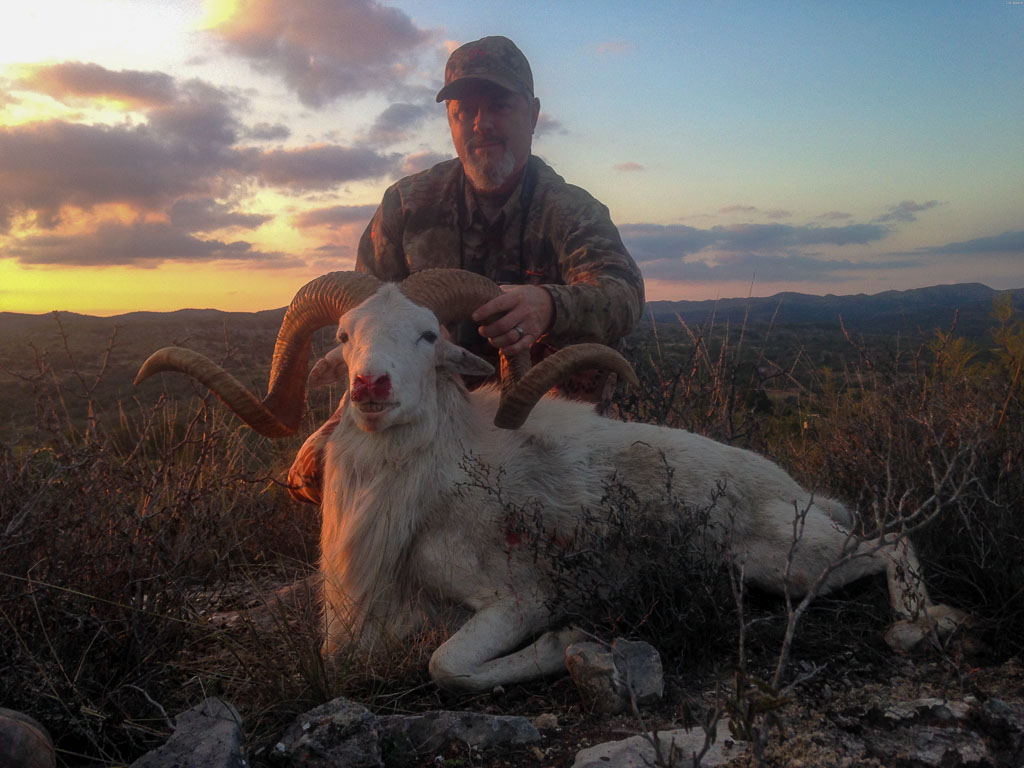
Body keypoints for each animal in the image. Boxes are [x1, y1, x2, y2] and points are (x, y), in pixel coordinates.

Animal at [135, 268, 967, 692]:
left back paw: (918, 626)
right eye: (344, 336)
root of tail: (794, 495)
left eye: (429, 335)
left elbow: (447, 665)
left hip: (787, 561)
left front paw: (570, 646)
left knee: (893, 542)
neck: (411, 502)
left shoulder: (514, 603)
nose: (371, 385)